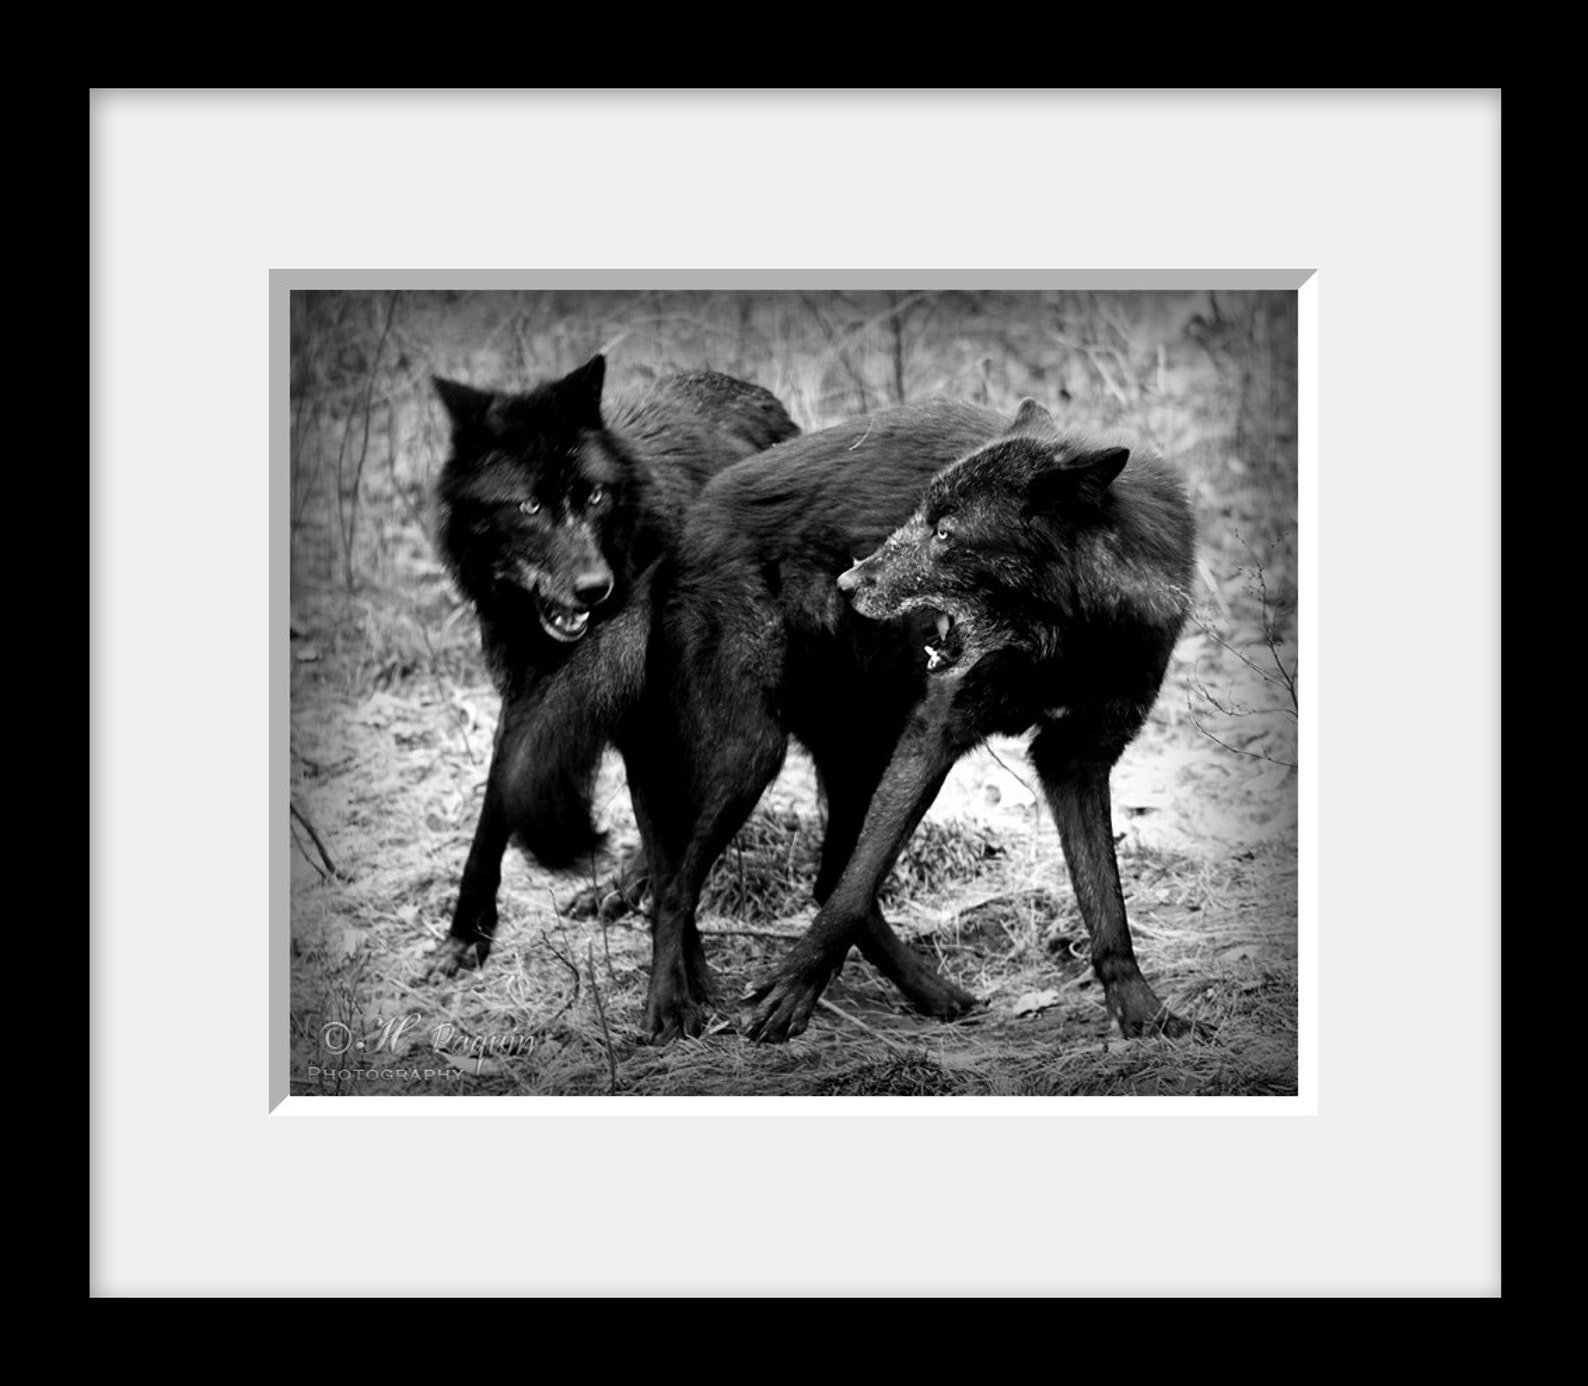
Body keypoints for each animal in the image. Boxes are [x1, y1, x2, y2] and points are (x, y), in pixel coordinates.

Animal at [423, 354, 799, 978]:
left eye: (595, 497)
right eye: (530, 506)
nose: (593, 588)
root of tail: (763, 395)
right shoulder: (521, 701)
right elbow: (493, 815)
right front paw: (464, 935)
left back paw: (626, 888)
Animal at [622, 397, 1198, 1043]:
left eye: (945, 532)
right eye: (919, 515)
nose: (847, 583)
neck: (1063, 648)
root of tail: (690, 520)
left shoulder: (1075, 759)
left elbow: (1107, 905)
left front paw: (1142, 1011)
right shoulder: (934, 734)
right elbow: (855, 887)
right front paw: (790, 991)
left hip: (860, 750)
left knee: (821, 875)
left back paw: (931, 992)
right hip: (753, 755)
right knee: (675, 883)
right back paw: (671, 1003)